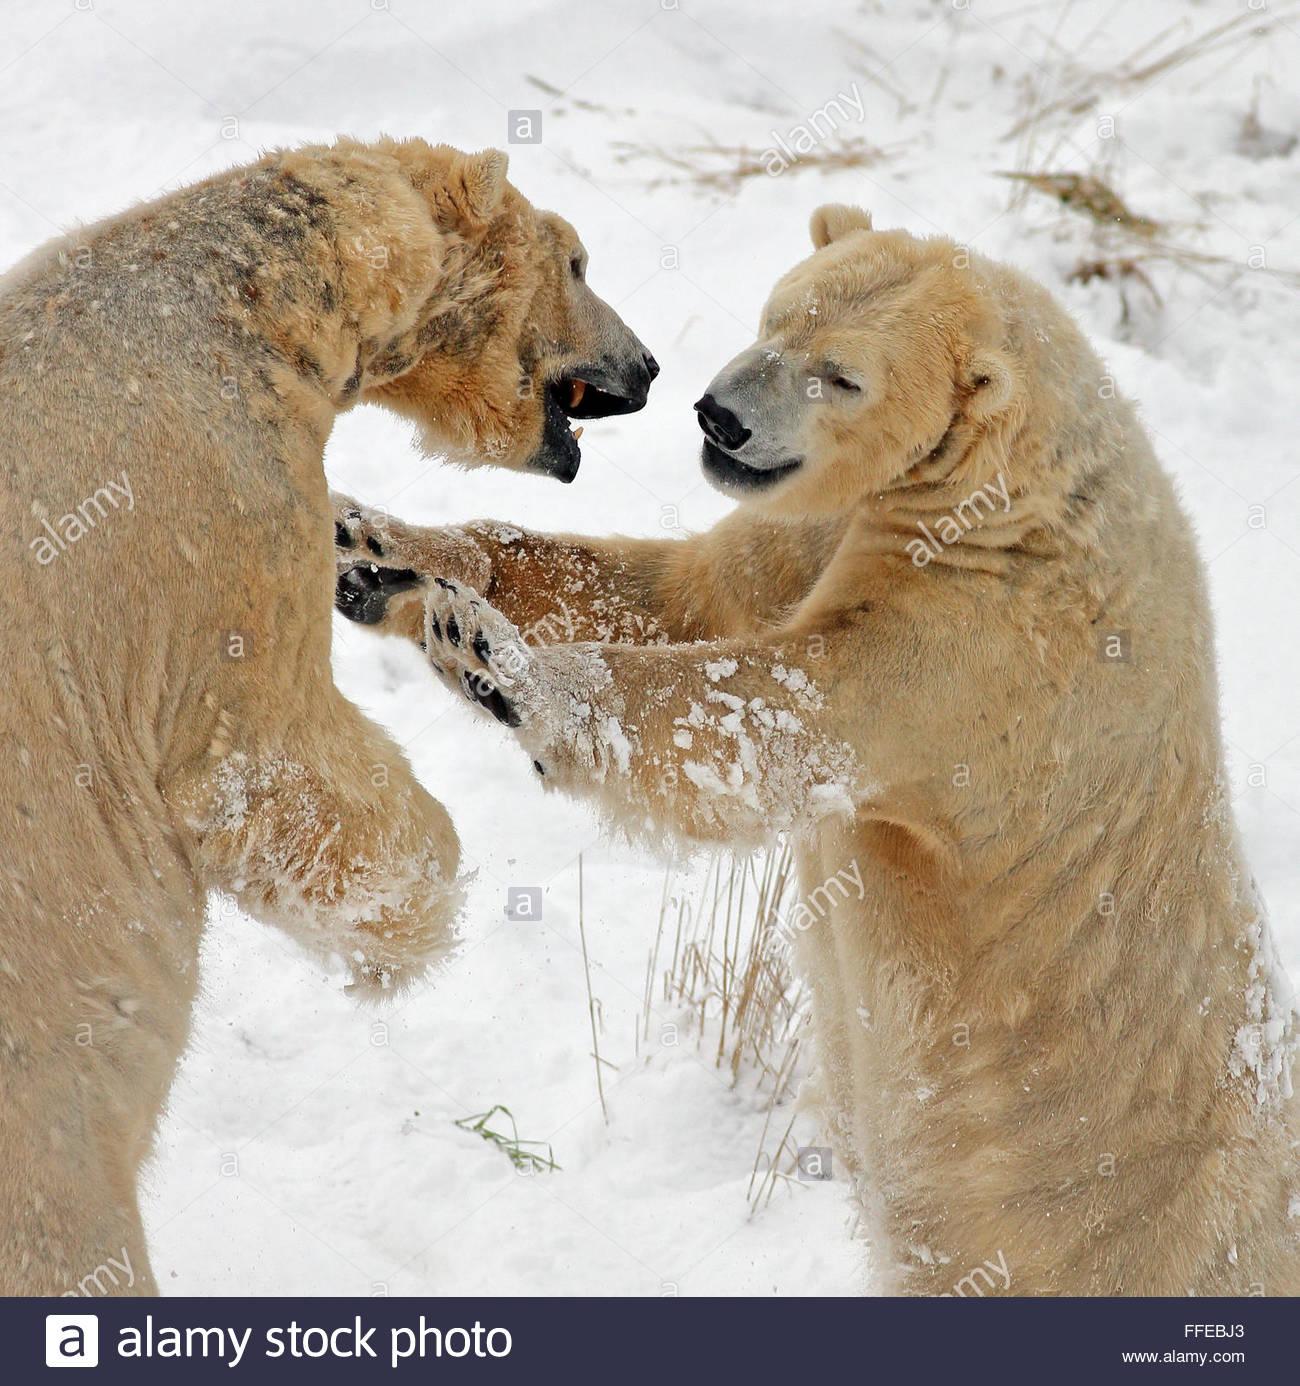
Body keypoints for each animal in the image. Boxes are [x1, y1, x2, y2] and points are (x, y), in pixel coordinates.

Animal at [0, 135, 655, 1296]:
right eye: (579, 260)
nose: (651, 367)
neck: (241, 293)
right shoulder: (227, 516)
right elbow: (267, 761)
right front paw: (402, 933)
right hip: (42, 1082)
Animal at [333, 205, 1300, 1296]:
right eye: (775, 313)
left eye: (840, 376)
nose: (717, 417)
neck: (1015, 484)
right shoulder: (831, 531)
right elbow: (680, 590)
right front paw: (382, 550)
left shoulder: (986, 642)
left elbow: (761, 710)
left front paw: (498, 660)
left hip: (1116, 1228)